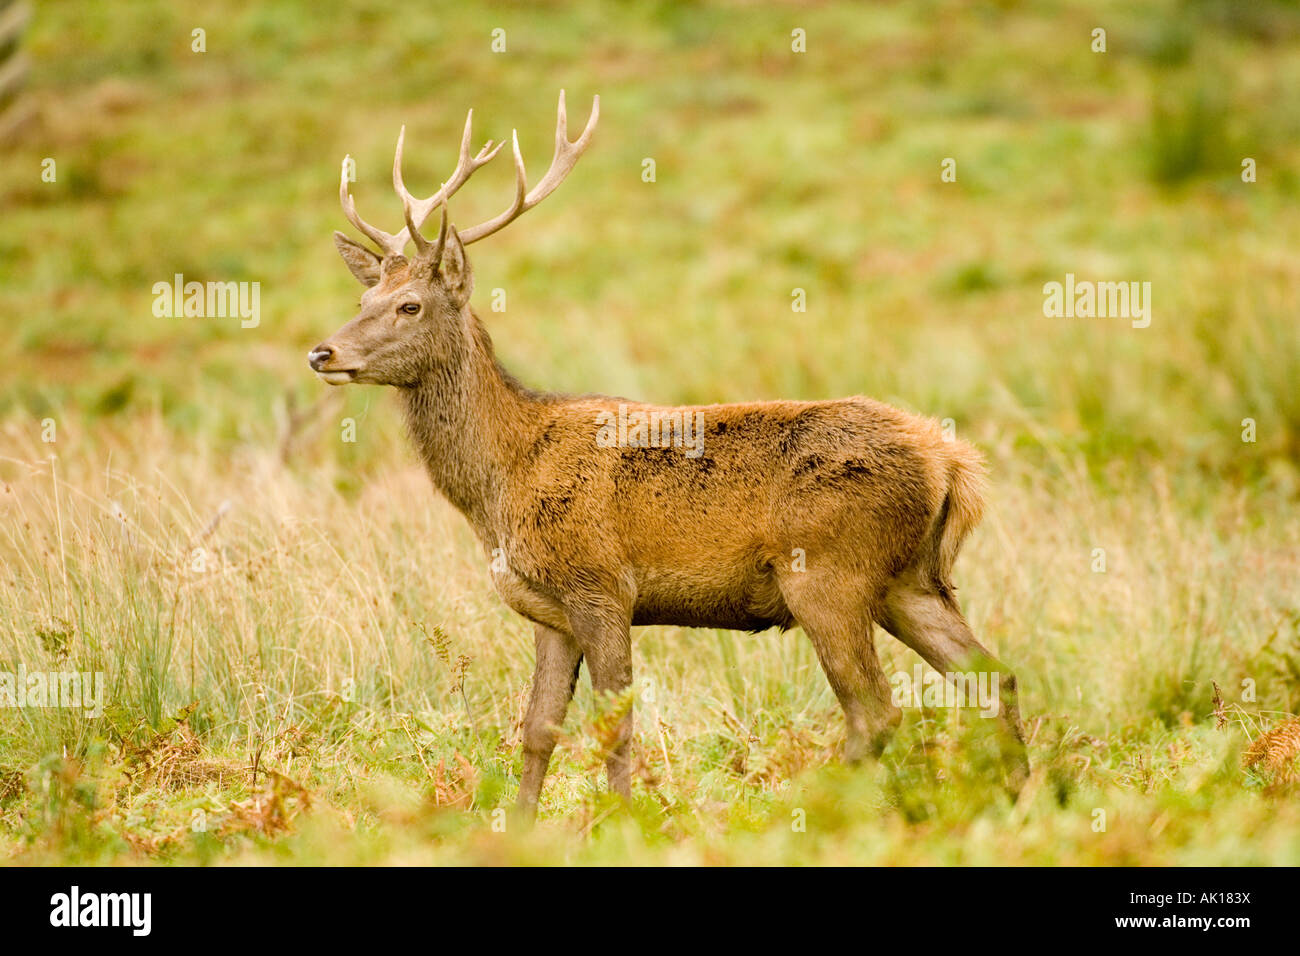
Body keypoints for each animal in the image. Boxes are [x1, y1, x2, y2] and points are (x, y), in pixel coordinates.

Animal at [309, 91, 1029, 817]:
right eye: (362, 297)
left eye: (409, 305)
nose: (322, 352)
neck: (502, 478)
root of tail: (952, 464)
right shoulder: (550, 611)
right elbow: (538, 728)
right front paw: (521, 826)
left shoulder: (600, 585)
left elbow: (614, 725)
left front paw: (624, 821)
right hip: (910, 581)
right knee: (993, 676)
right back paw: (1018, 797)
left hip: (830, 571)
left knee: (876, 710)